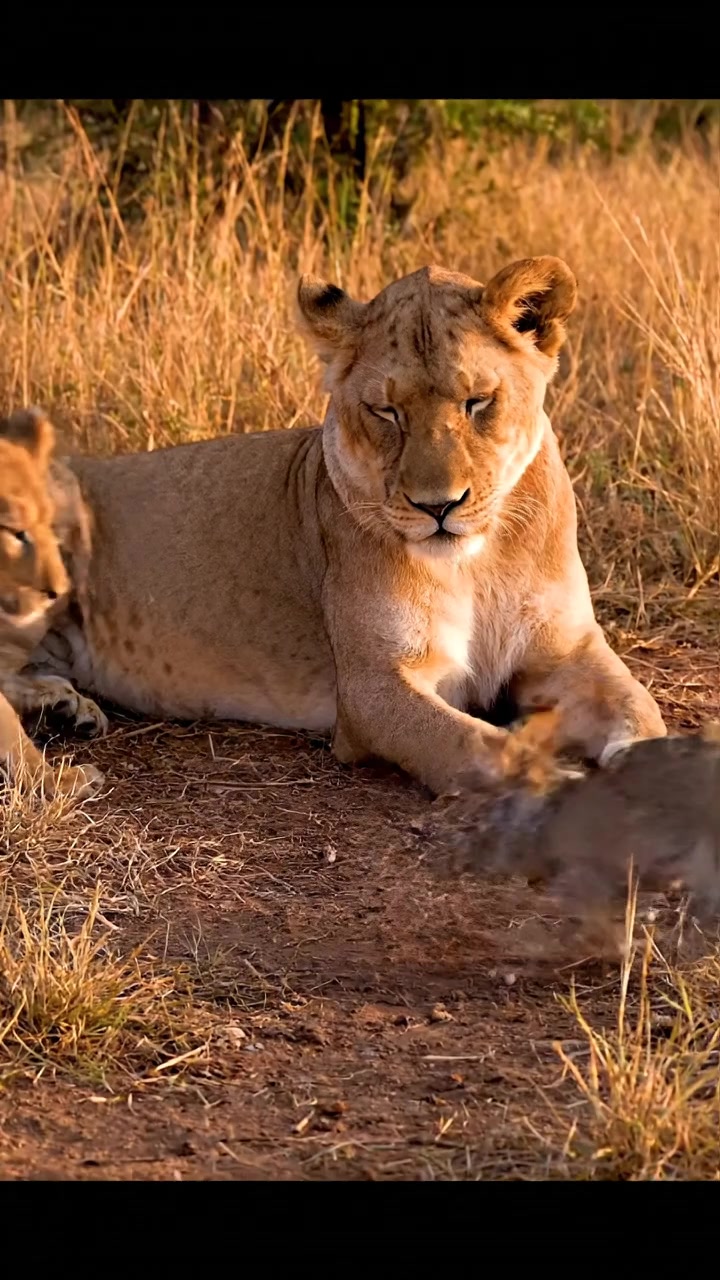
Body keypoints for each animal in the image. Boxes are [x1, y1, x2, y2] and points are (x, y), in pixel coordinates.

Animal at [26, 256, 665, 795]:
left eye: (478, 401)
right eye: (386, 412)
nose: (439, 506)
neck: (479, 561)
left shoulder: (566, 653)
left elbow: (643, 709)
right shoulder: (371, 687)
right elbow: (472, 742)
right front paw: (552, 780)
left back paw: (65, 707)